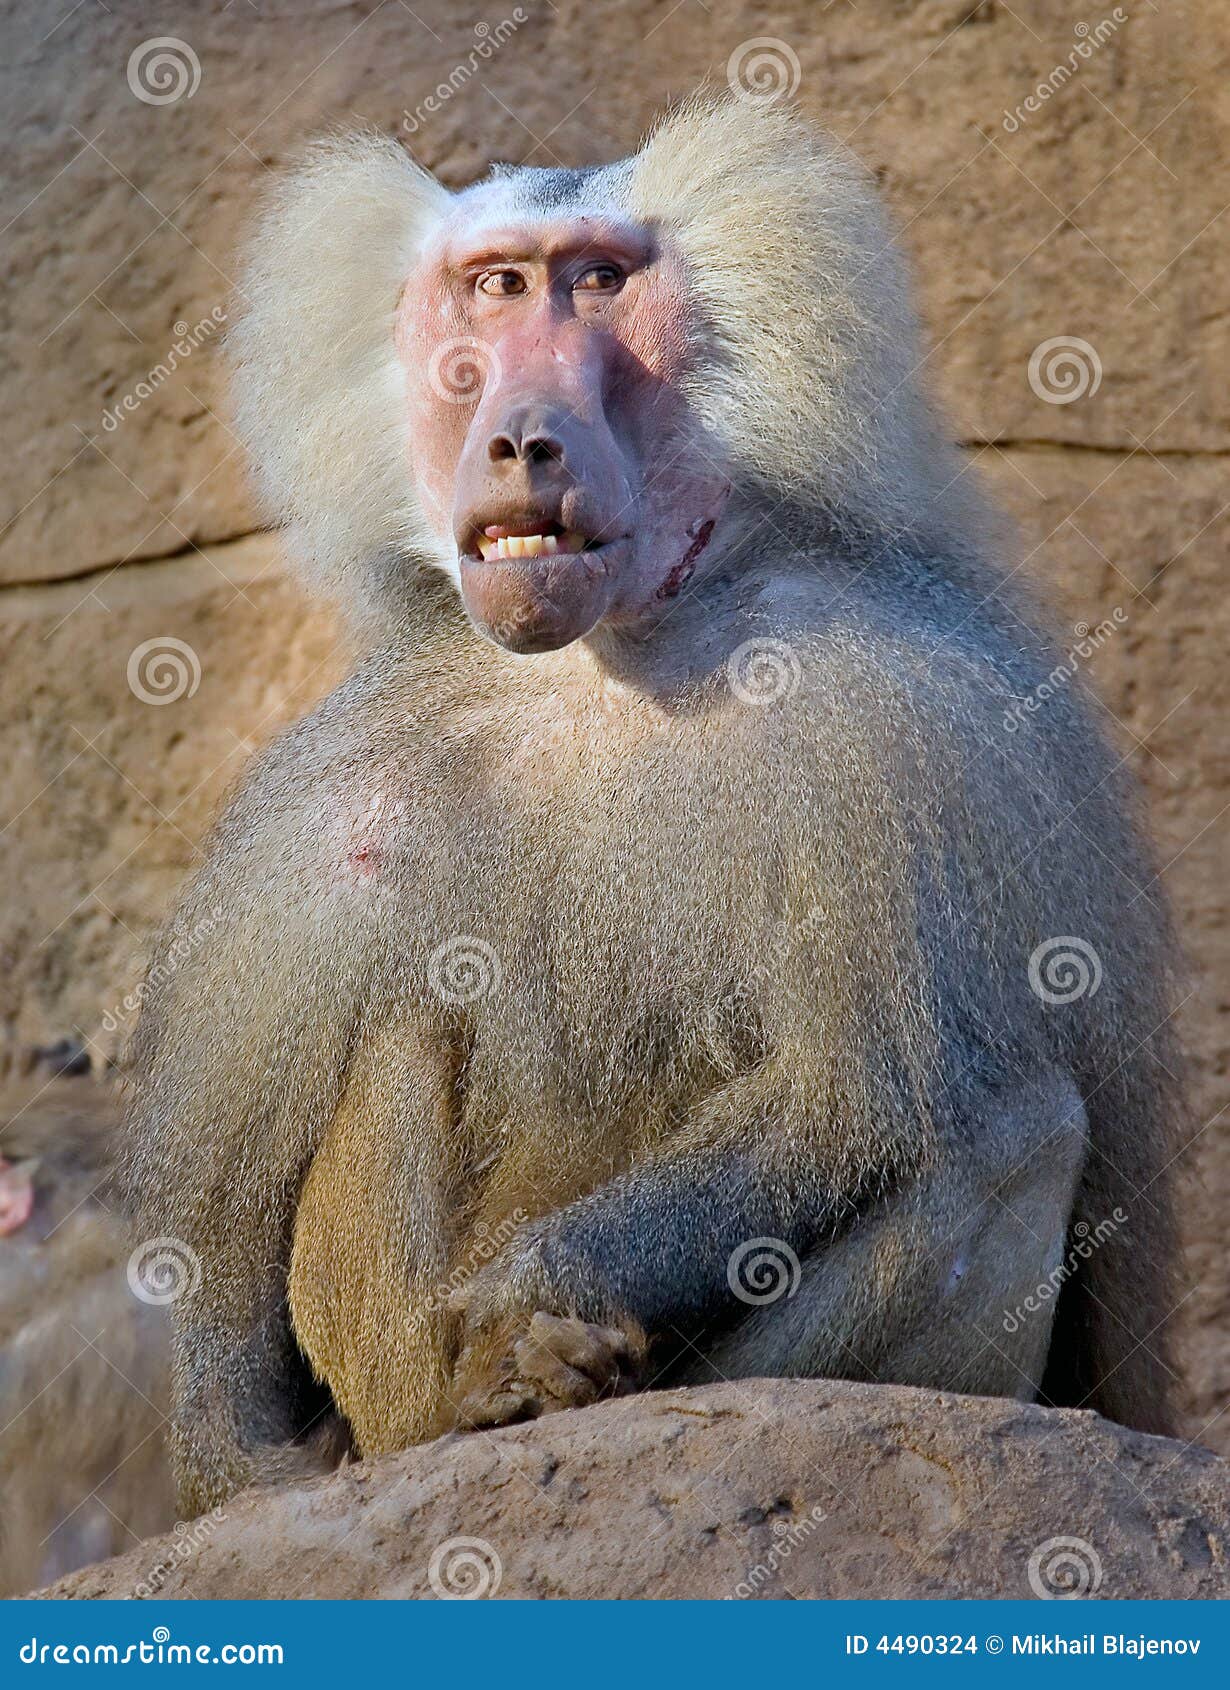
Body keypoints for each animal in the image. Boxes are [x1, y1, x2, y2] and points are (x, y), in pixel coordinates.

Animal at [123, 97, 1183, 1519]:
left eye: (597, 283)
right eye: (495, 287)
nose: (522, 438)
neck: (608, 659)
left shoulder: (885, 722)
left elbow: (839, 1095)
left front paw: (537, 1297)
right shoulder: (332, 792)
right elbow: (232, 1199)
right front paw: (234, 1447)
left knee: (1016, 1124)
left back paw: (612, 1381)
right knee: (394, 1034)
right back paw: (476, 1409)